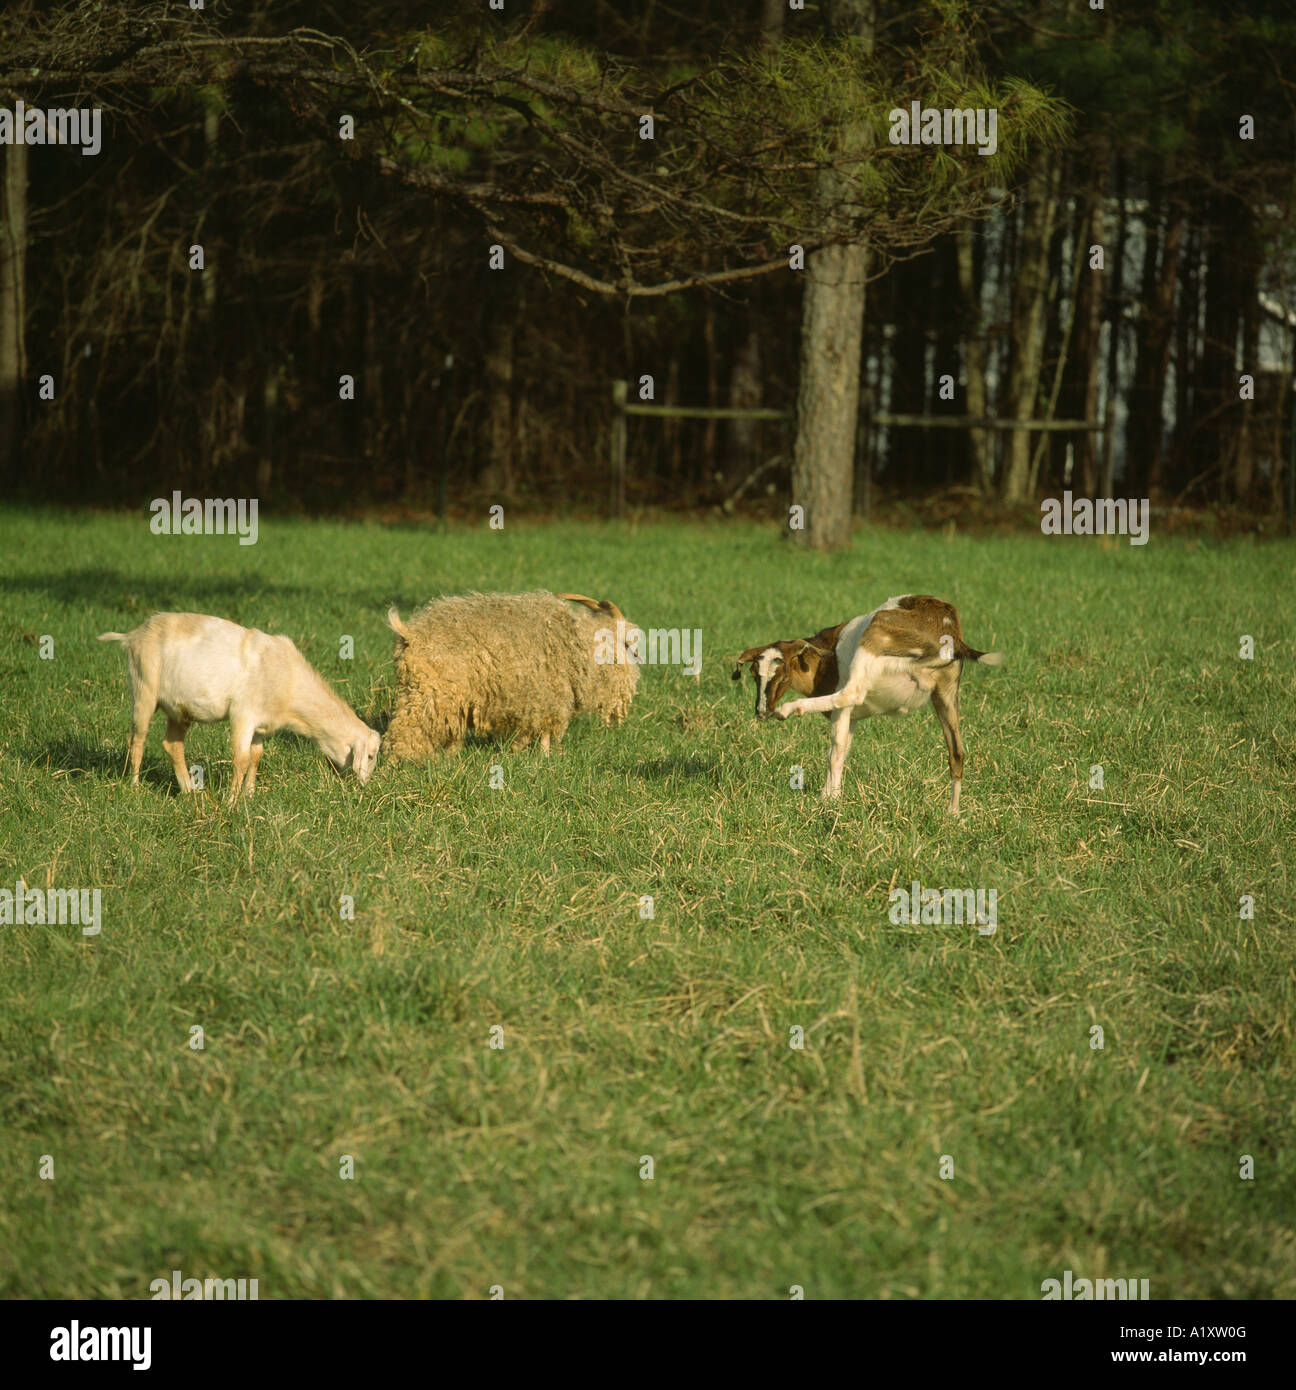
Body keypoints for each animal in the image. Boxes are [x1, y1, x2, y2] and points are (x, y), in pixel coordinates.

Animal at [98, 613, 381, 800]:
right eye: (370, 756)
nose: (366, 784)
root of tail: (134, 635)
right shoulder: (243, 715)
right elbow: (241, 759)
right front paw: (232, 801)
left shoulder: (261, 724)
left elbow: (256, 757)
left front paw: (249, 795)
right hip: (143, 689)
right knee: (137, 739)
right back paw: (134, 786)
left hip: (178, 710)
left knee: (172, 745)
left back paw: (189, 791)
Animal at [732, 595, 1003, 814]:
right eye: (754, 674)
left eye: (782, 673)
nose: (762, 711)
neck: (825, 660)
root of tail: (950, 630)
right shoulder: (851, 718)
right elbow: (840, 750)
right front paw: (830, 795)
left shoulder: (842, 712)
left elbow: (836, 749)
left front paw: (828, 800)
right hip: (945, 692)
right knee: (957, 752)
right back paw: (952, 814)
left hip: (872, 641)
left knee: (851, 692)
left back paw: (788, 709)